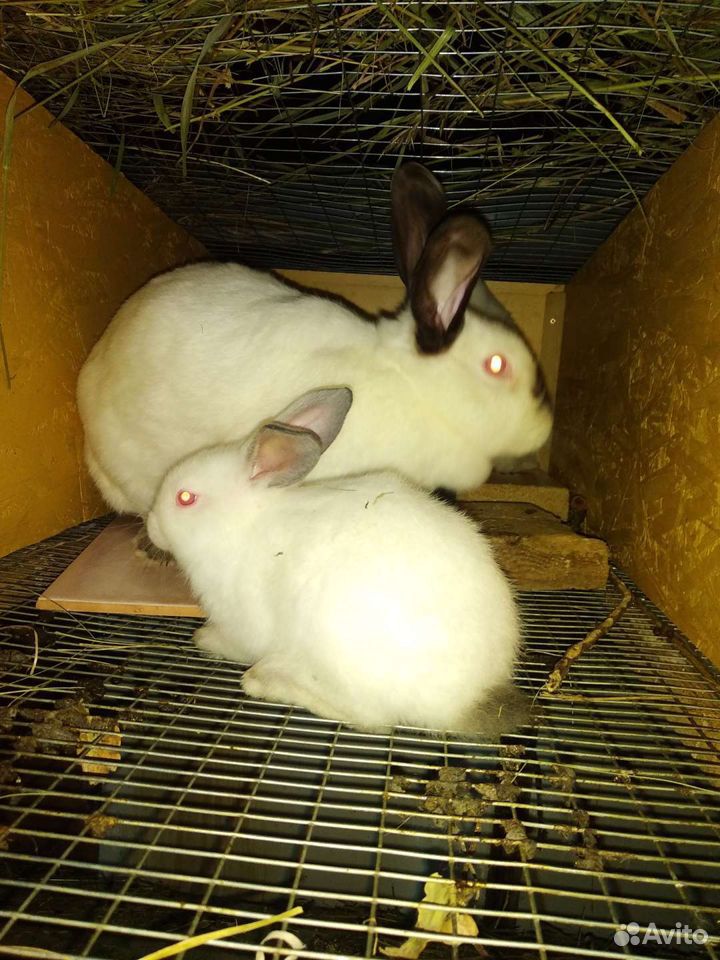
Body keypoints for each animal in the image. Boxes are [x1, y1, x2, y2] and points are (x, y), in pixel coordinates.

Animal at [146, 387, 529, 736]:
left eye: (185, 498)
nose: (150, 525)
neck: (242, 523)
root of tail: (471, 699)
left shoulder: (242, 622)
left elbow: (233, 642)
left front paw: (204, 638)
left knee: (372, 720)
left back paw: (267, 680)